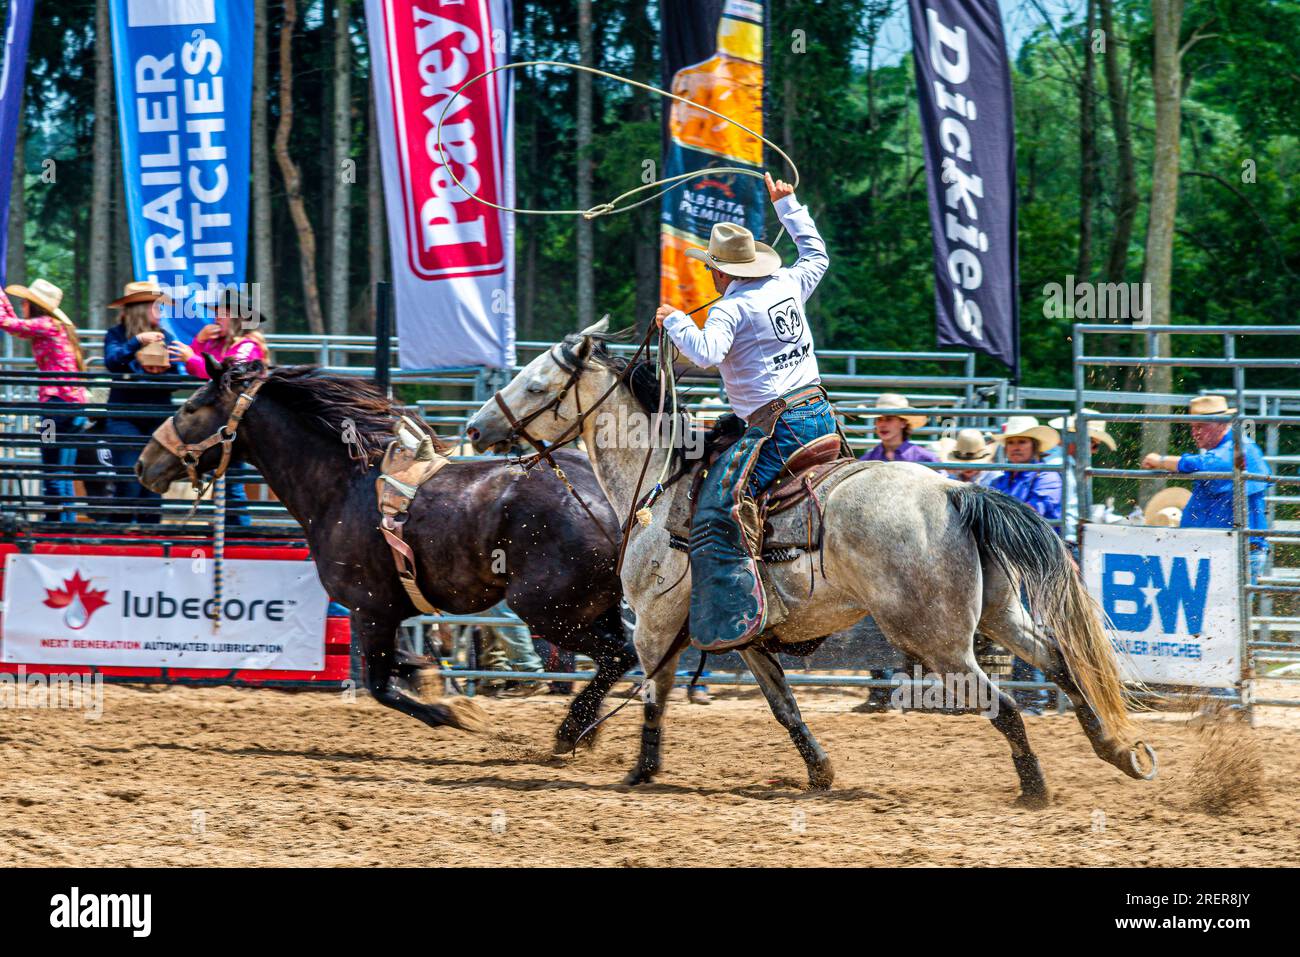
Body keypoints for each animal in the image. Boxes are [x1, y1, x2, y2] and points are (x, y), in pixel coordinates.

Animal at [135, 356, 638, 751]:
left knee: (618, 655)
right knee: (621, 655)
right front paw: (431, 677)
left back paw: (571, 730)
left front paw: (458, 712)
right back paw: (584, 727)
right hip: (595, 605)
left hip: (546, 608)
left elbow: (379, 684)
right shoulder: (390, 612)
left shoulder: (369, 609)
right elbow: (403, 663)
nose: (144, 465)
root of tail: (614, 505)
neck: (344, 483)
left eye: (190, 407)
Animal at [464, 319, 1158, 807]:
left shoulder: (658, 625)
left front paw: (636, 767)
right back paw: (1119, 751)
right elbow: (784, 707)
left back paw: (1035, 789)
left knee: (1006, 705)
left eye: (535, 385)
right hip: (999, 614)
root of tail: (952, 491)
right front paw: (819, 770)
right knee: (1062, 662)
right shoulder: (745, 637)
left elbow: (653, 694)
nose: (473, 428)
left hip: (937, 639)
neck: (664, 480)